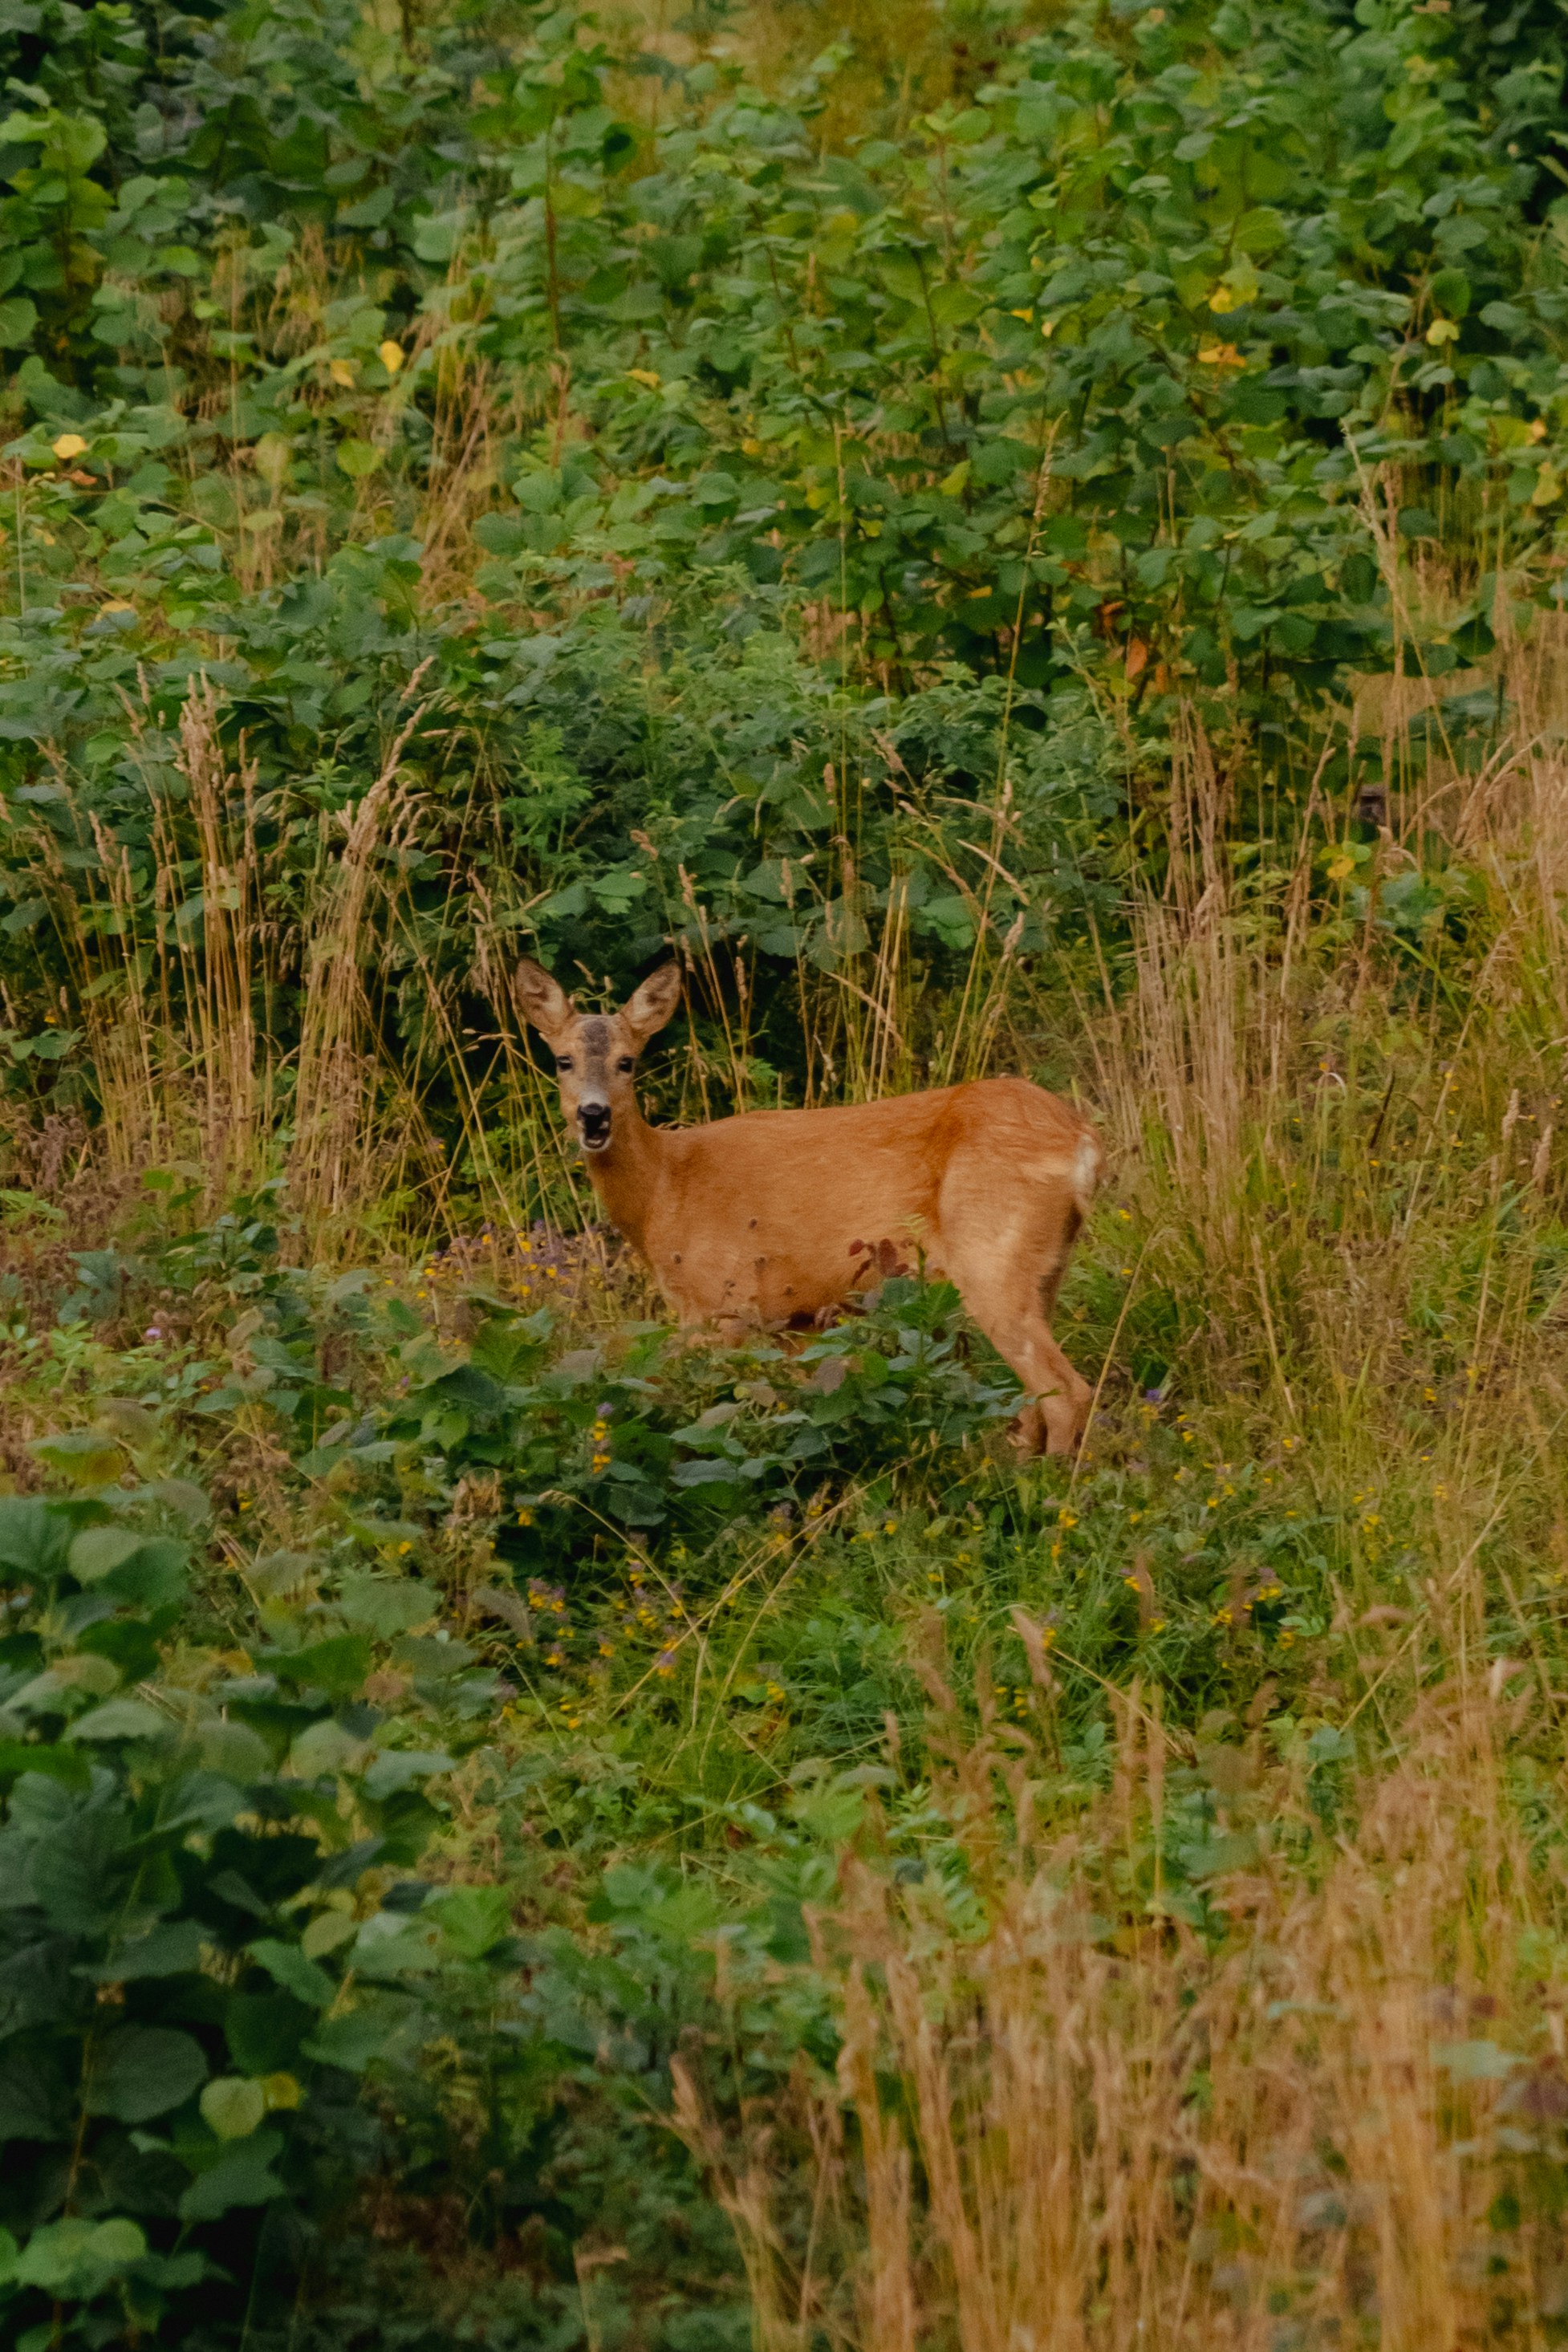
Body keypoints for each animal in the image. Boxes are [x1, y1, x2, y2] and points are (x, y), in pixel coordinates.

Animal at [513, 958, 1103, 1454]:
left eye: (627, 1061)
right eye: (562, 1060)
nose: (594, 1116)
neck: (665, 1190)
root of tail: (1081, 1141)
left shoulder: (725, 1302)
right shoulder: (795, 1318)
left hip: (990, 1254)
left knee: (1066, 1390)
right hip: (1046, 1266)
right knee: (1035, 1397)